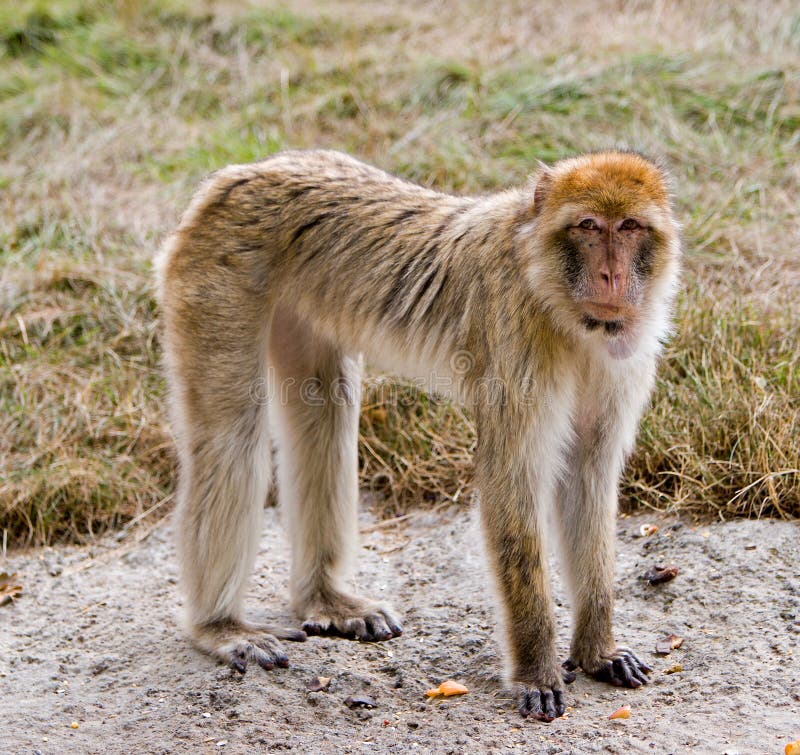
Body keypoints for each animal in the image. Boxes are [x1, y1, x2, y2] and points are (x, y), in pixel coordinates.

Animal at [155, 146, 680, 720]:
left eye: (629, 227)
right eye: (588, 226)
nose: (610, 275)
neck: (557, 301)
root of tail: (240, 173)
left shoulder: (621, 361)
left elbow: (588, 473)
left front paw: (597, 651)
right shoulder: (514, 333)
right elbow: (511, 484)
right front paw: (536, 670)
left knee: (323, 417)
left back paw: (323, 598)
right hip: (216, 272)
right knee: (231, 438)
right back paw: (219, 626)